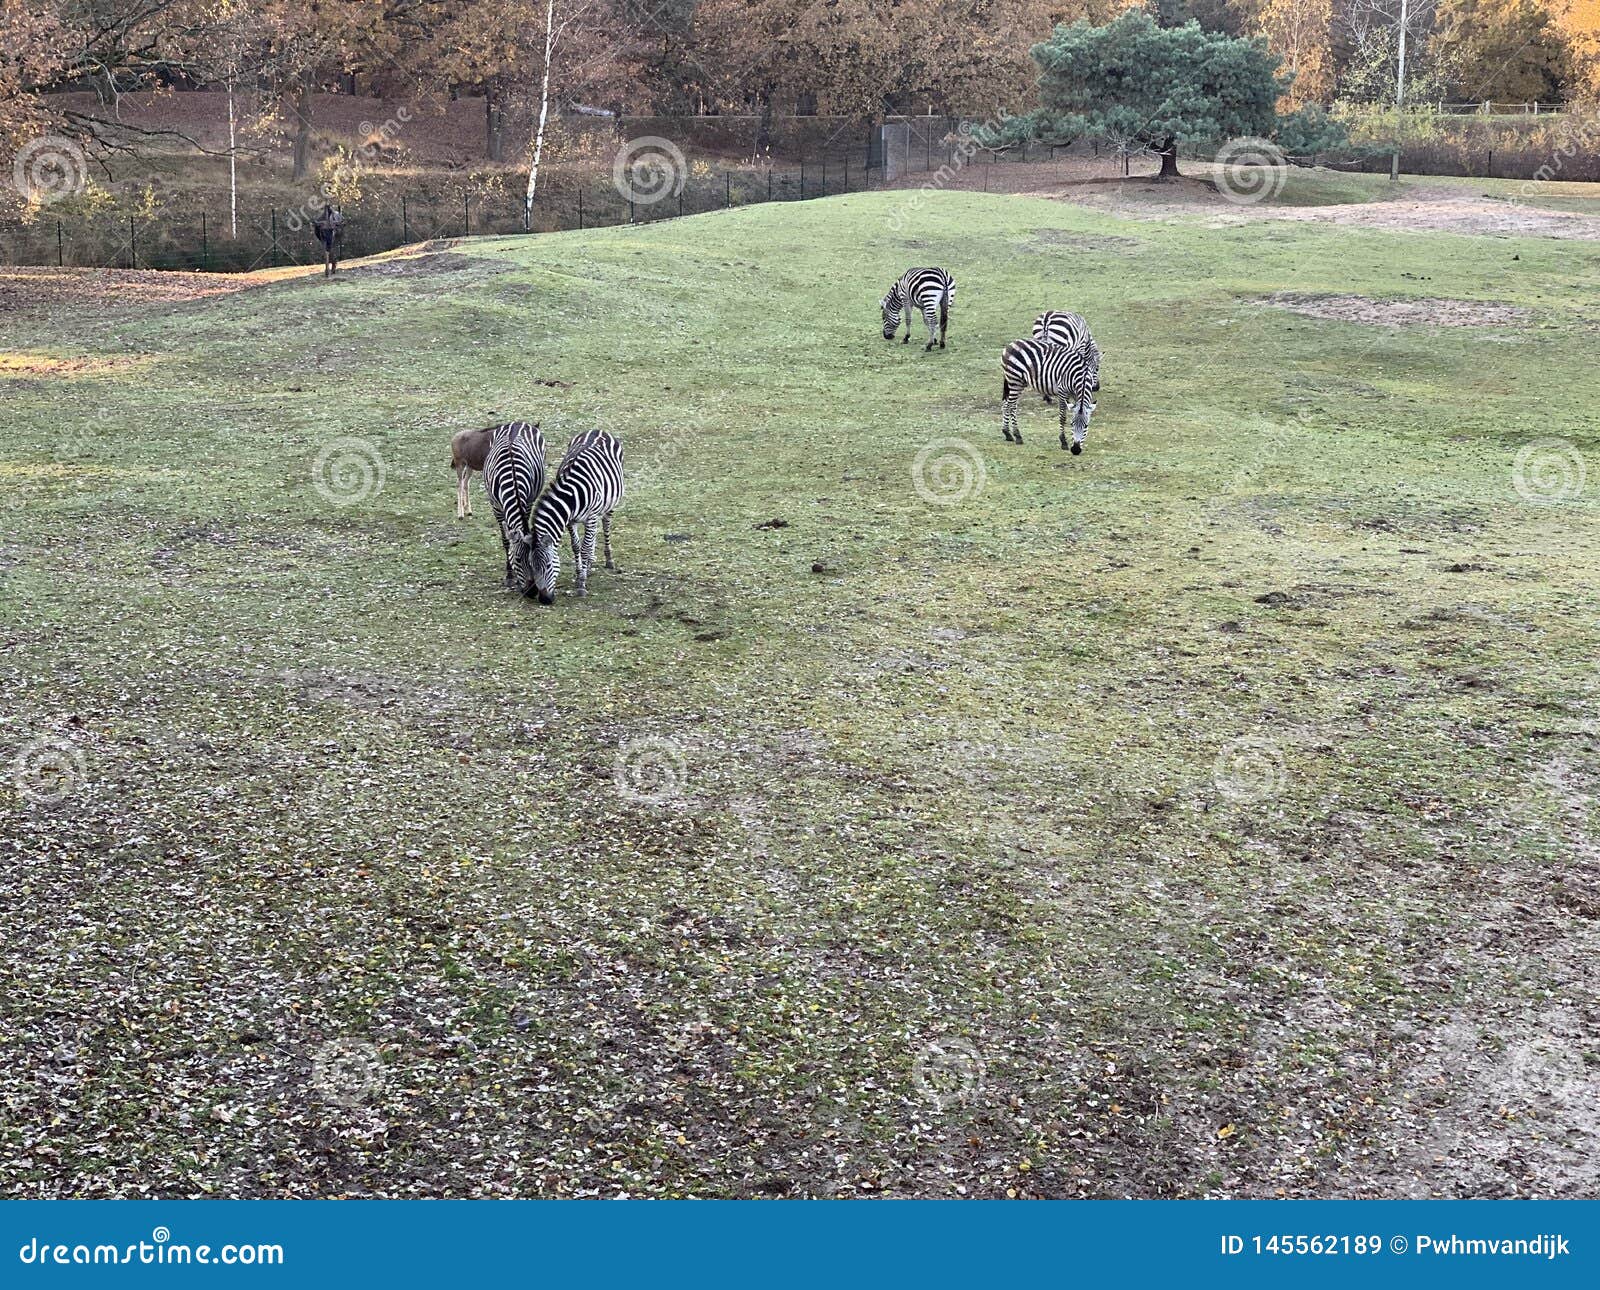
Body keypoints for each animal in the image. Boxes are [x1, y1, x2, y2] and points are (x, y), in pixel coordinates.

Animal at [481, 421, 547, 590]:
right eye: (516, 559)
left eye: (532, 560)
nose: (531, 590)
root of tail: (518, 422)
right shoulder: (496, 506)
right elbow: (505, 540)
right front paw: (510, 575)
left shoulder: (528, 502)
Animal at [530, 430, 624, 604]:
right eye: (532, 566)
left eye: (548, 566)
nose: (544, 600)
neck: (572, 495)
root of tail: (597, 429)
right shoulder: (570, 520)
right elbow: (577, 546)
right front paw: (581, 572)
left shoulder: (591, 516)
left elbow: (585, 548)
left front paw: (581, 583)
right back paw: (590, 564)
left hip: (609, 504)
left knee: (606, 524)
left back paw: (608, 559)